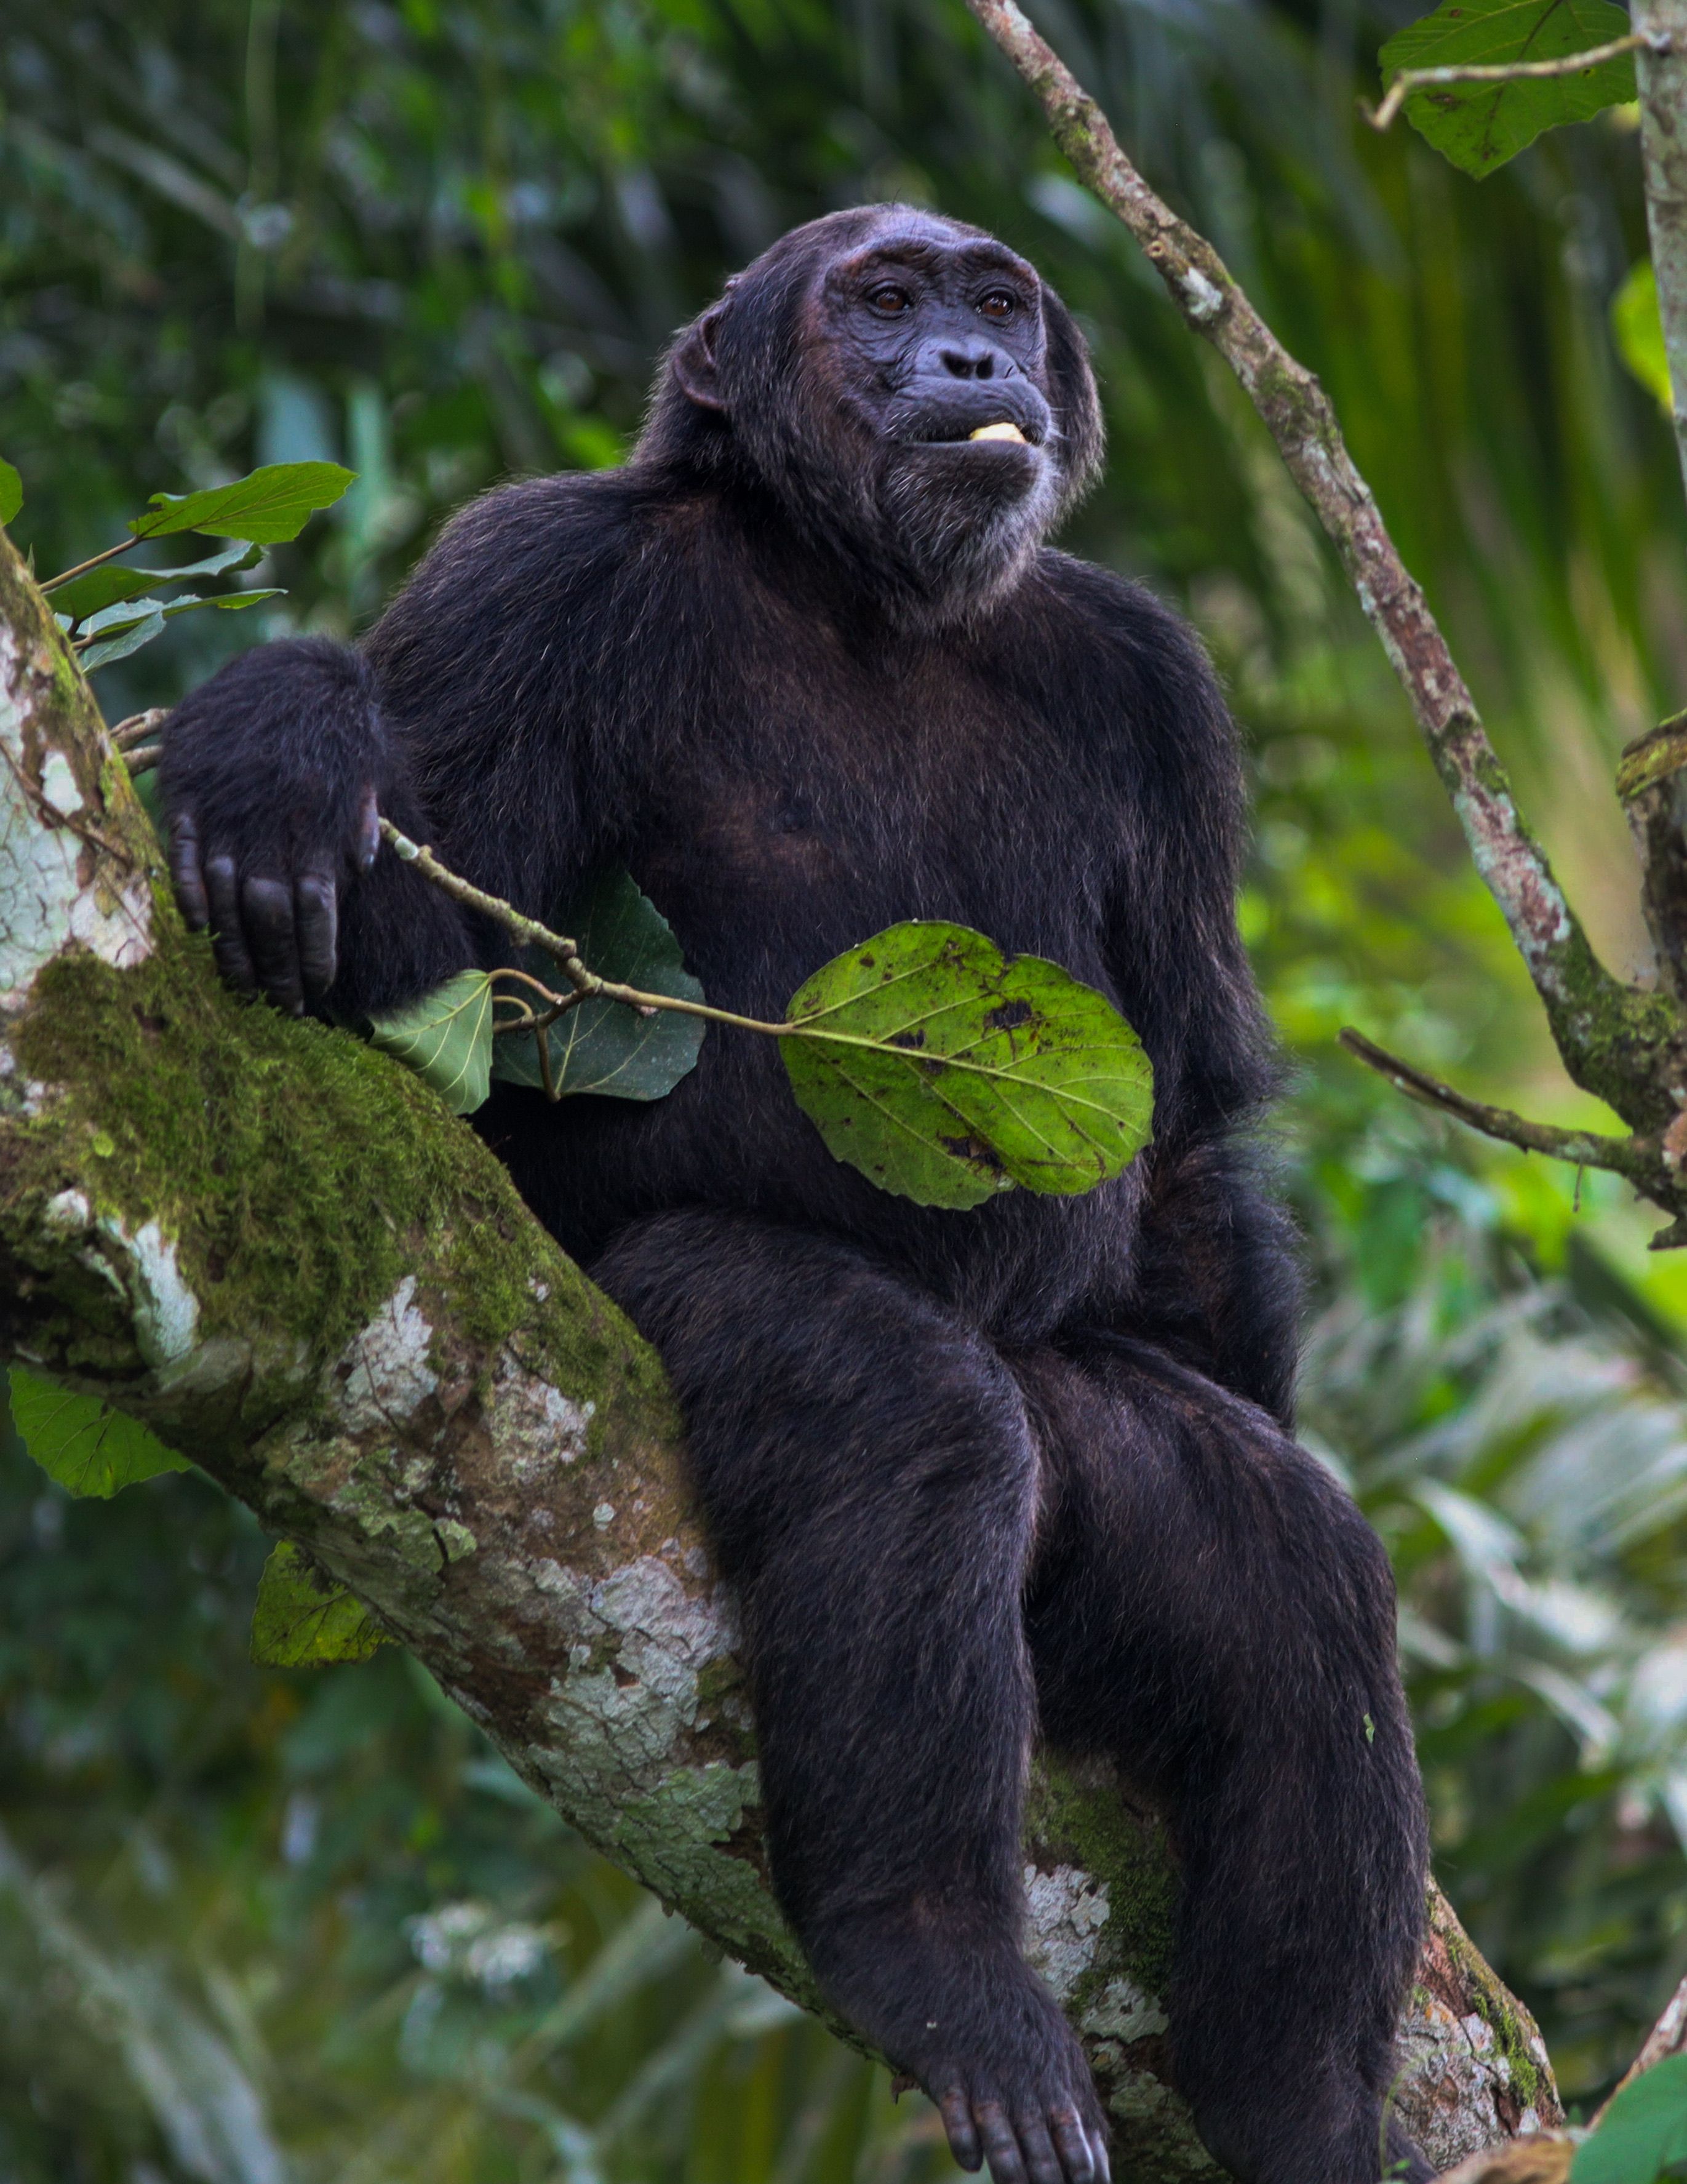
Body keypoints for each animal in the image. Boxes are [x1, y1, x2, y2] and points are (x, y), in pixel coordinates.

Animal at [161, 206, 1430, 2184]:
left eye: (995, 302)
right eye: (884, 302)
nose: (971, 363)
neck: (855, 590)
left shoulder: (1155, 689)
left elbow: (1187, 1106)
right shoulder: (534, 578)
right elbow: (427, 978)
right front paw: (278, 744)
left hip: (1084, 1437)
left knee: (1286, 1582)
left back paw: (1291, 2098)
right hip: (655, 1306)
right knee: (904, 1434)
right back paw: (943, 1971)